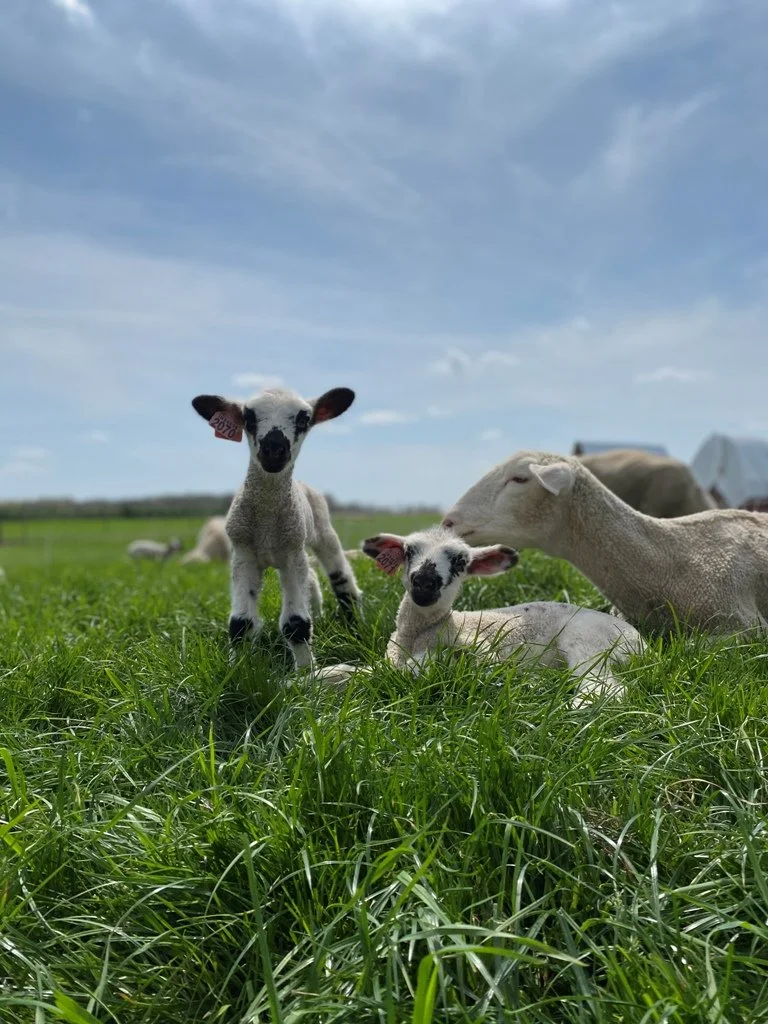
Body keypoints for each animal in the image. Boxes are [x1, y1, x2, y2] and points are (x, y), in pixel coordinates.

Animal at [191, 385, 362, 670]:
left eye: (304, 419)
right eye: (248, 418)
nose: (273, 449)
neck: (266, 524)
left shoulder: (291, 553)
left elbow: (296, 624)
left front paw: (306, 673)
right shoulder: (243, 553)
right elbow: (241, 624)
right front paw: (237, 669)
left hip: (321, 530)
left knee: (341, 579)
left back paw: (355, 622)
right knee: (312, 579)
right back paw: (320, 614)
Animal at [316, 526, 643, 706]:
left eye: (461, 562)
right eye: (409, 551)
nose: (424, 581)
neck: (421, 632)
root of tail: (640, 642)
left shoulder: (484, 654)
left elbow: (418, 670)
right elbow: (346, 671)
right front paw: (310, 681)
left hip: (587, 641)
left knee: (605, 687)